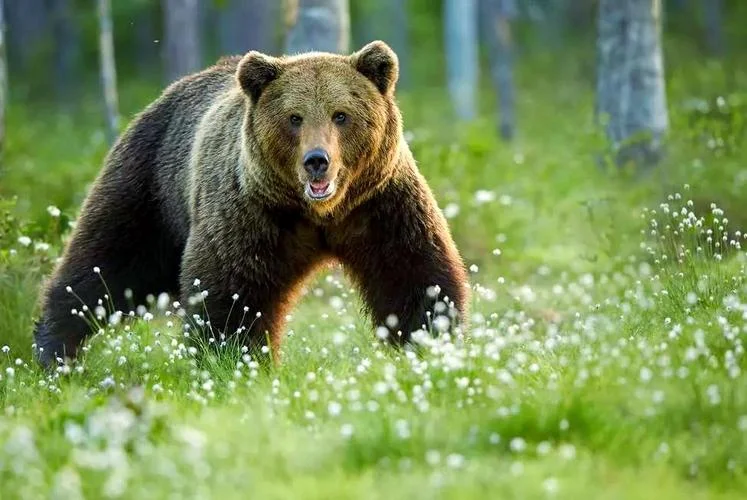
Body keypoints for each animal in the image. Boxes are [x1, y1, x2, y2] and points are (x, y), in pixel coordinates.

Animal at [33, 40, 470, 367]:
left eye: (341, 115)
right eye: (294, 117)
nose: (317, 160)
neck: (319, 213)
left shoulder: (380, 204)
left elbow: (413, 274)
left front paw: (428, 342)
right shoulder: (250, 211)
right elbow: (231, 290)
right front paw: (232, 360)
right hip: (150, 185)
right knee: (104, 263)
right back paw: (54, 350)